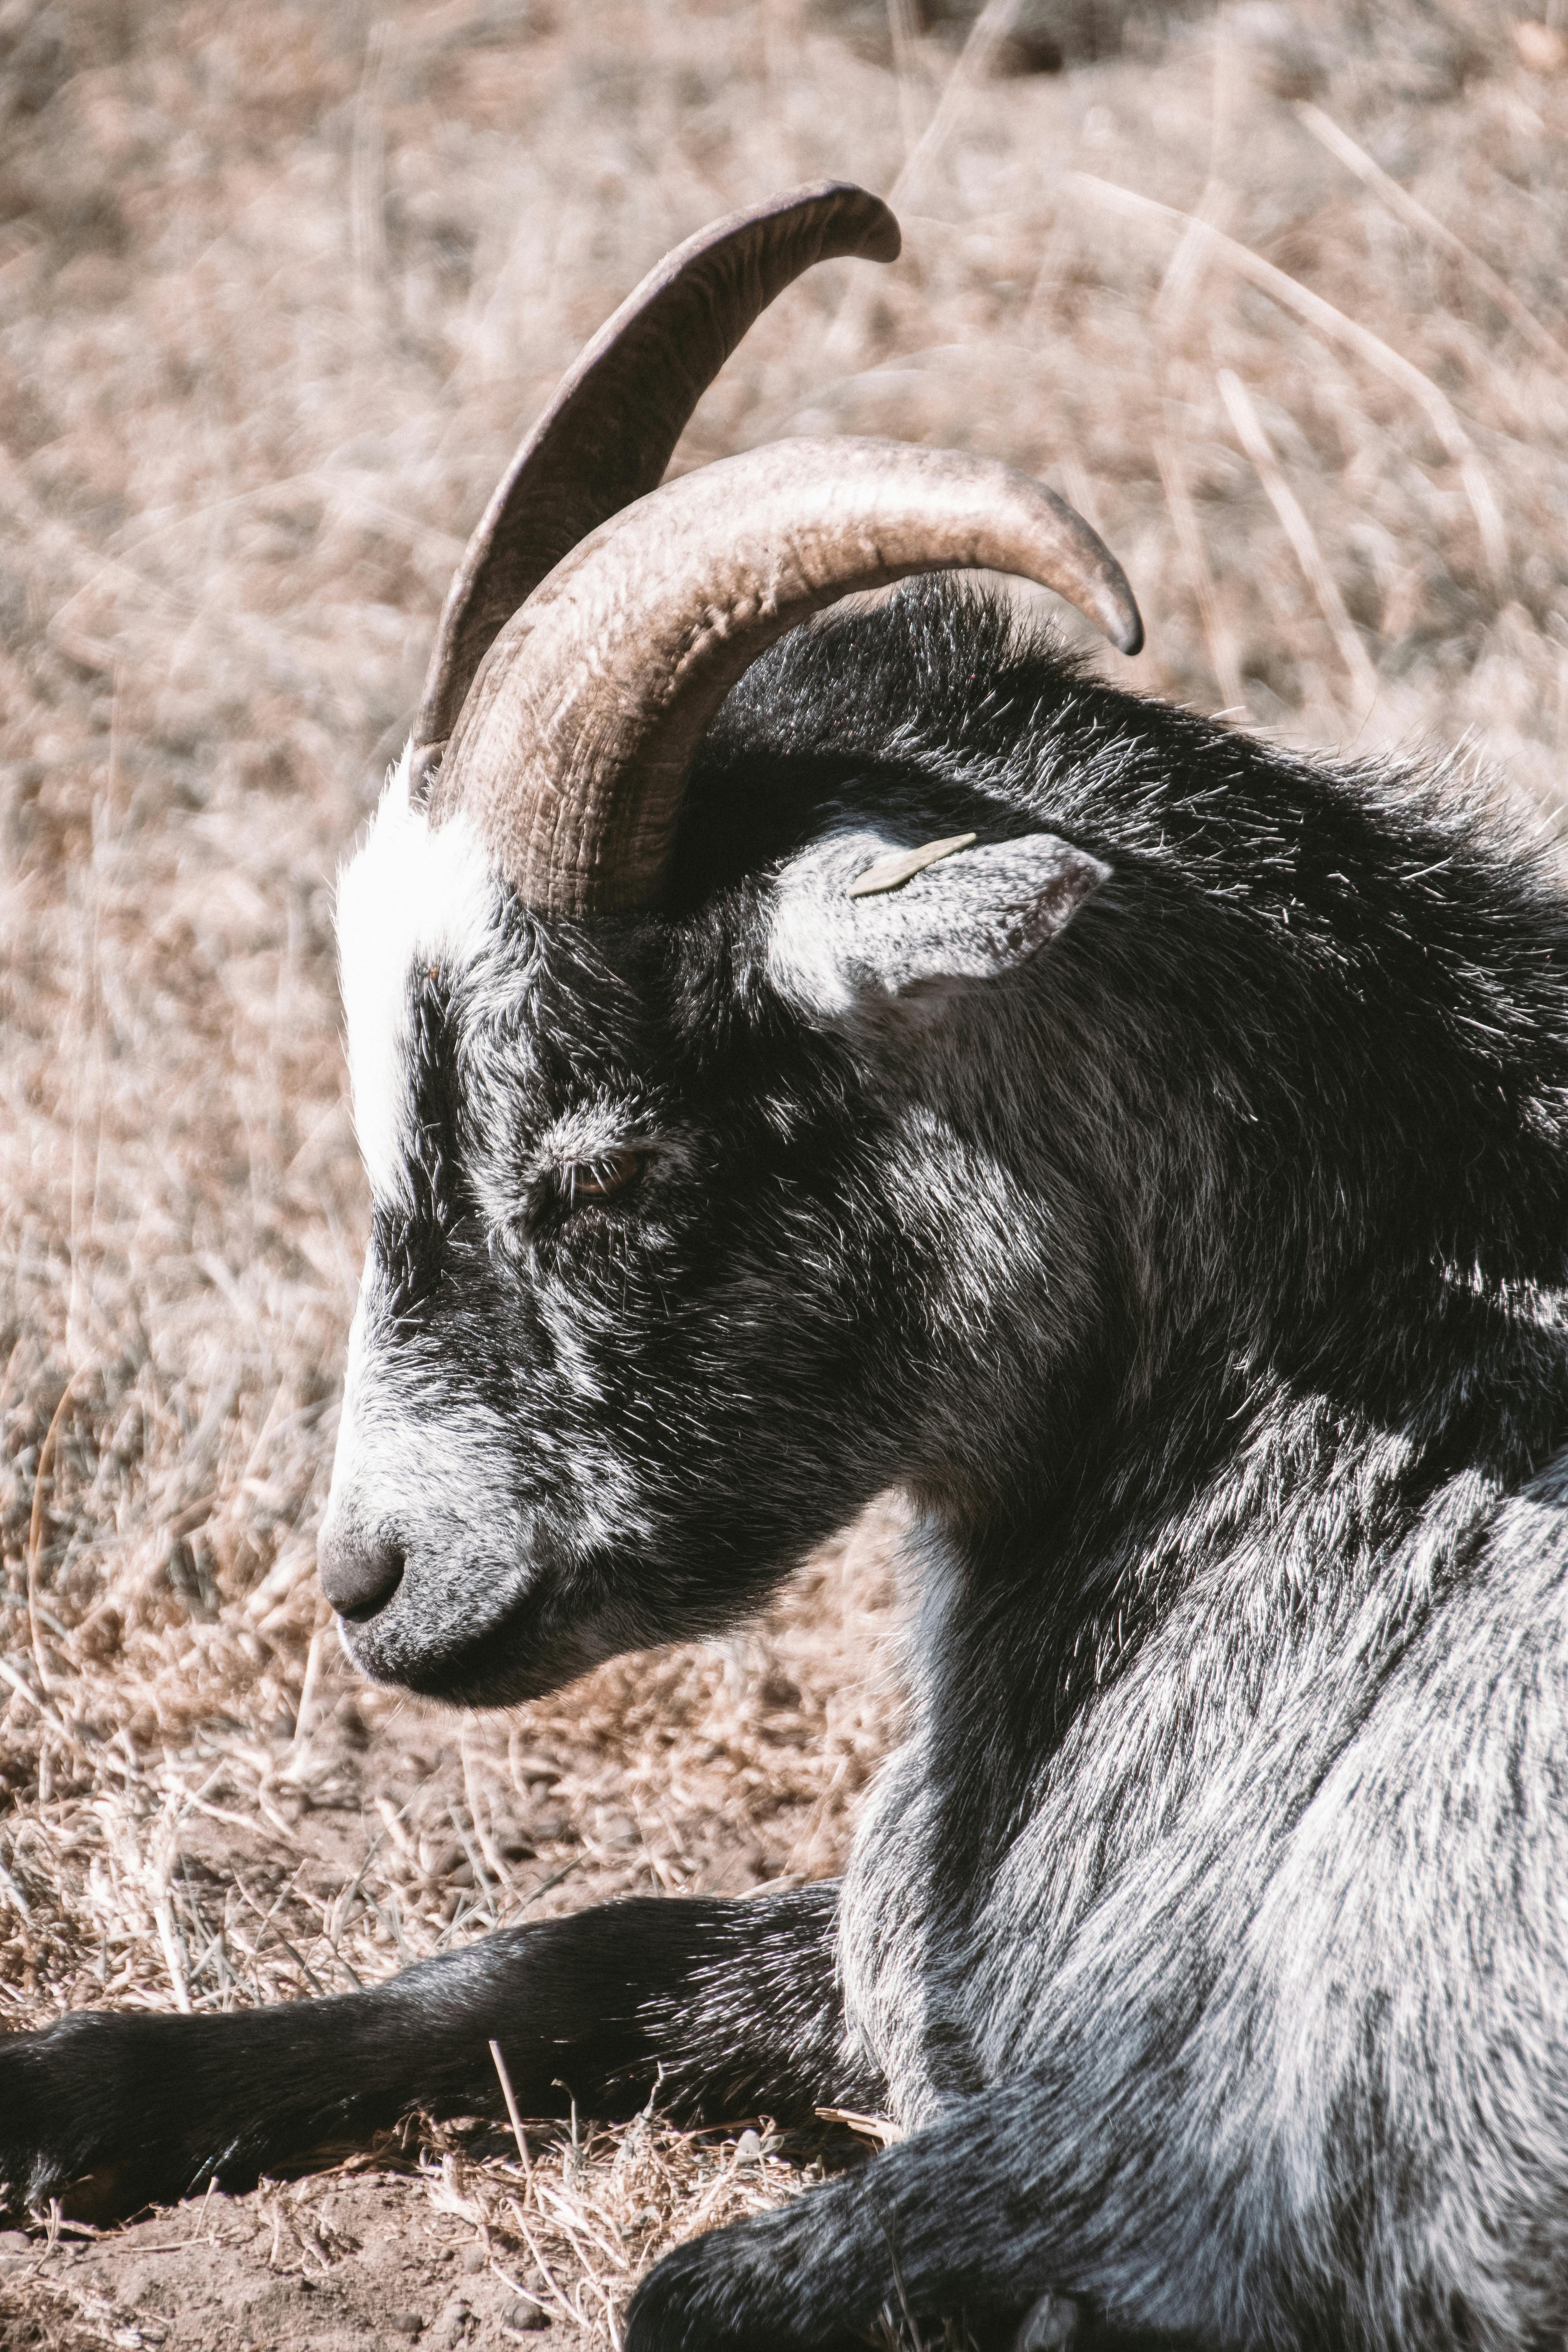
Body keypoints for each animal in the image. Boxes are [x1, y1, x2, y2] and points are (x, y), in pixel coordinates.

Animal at [5, 178, 1568, 2352]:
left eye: (603, 1169)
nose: (371, 1583)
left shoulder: (1208, 2158)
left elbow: (698, 2283)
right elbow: (564, 1955)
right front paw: (63, 2095)